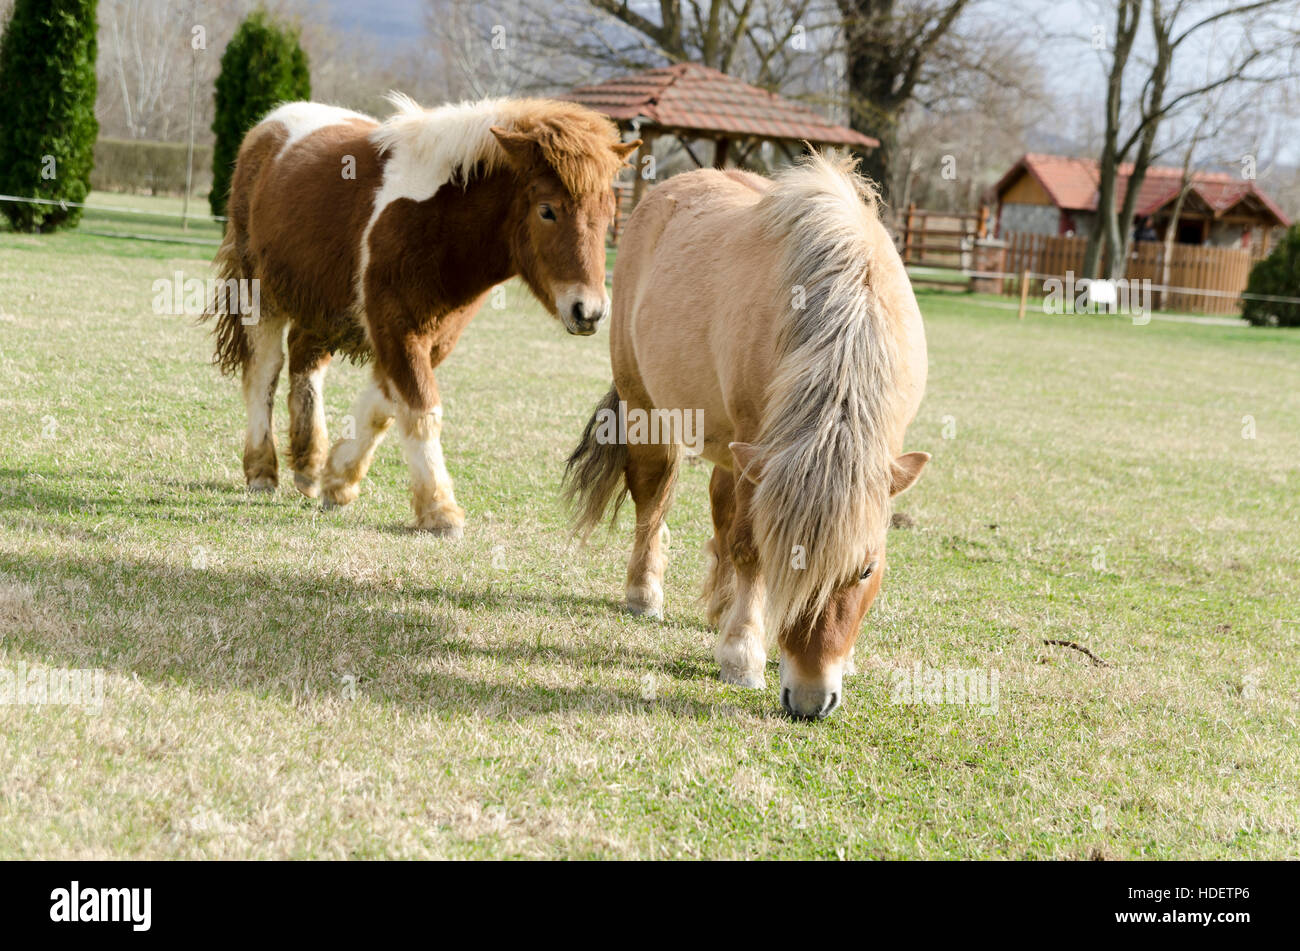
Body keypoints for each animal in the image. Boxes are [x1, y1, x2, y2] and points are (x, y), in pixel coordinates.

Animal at [206, 94, 638, 537]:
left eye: (610, 215)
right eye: (547, 210)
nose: (589, 311)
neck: (439, 220)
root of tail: (267, 126)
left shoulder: (432, 337)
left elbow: (383, 409)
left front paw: (338, 480)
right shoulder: (396, 327)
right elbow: (421, 410)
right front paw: (439, 509)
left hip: (319, 309)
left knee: (305, 367)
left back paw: (308, 466)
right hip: (259, 293)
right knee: (265, 371)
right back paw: (262, 469)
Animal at [563, 154, 929, 720]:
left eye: (866, 571)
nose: (810, 701)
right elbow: (749, 549)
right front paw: (742, 656)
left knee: (720, 508)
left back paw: (719, 607)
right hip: (650, 412)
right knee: (653, 500)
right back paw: (645, 594)